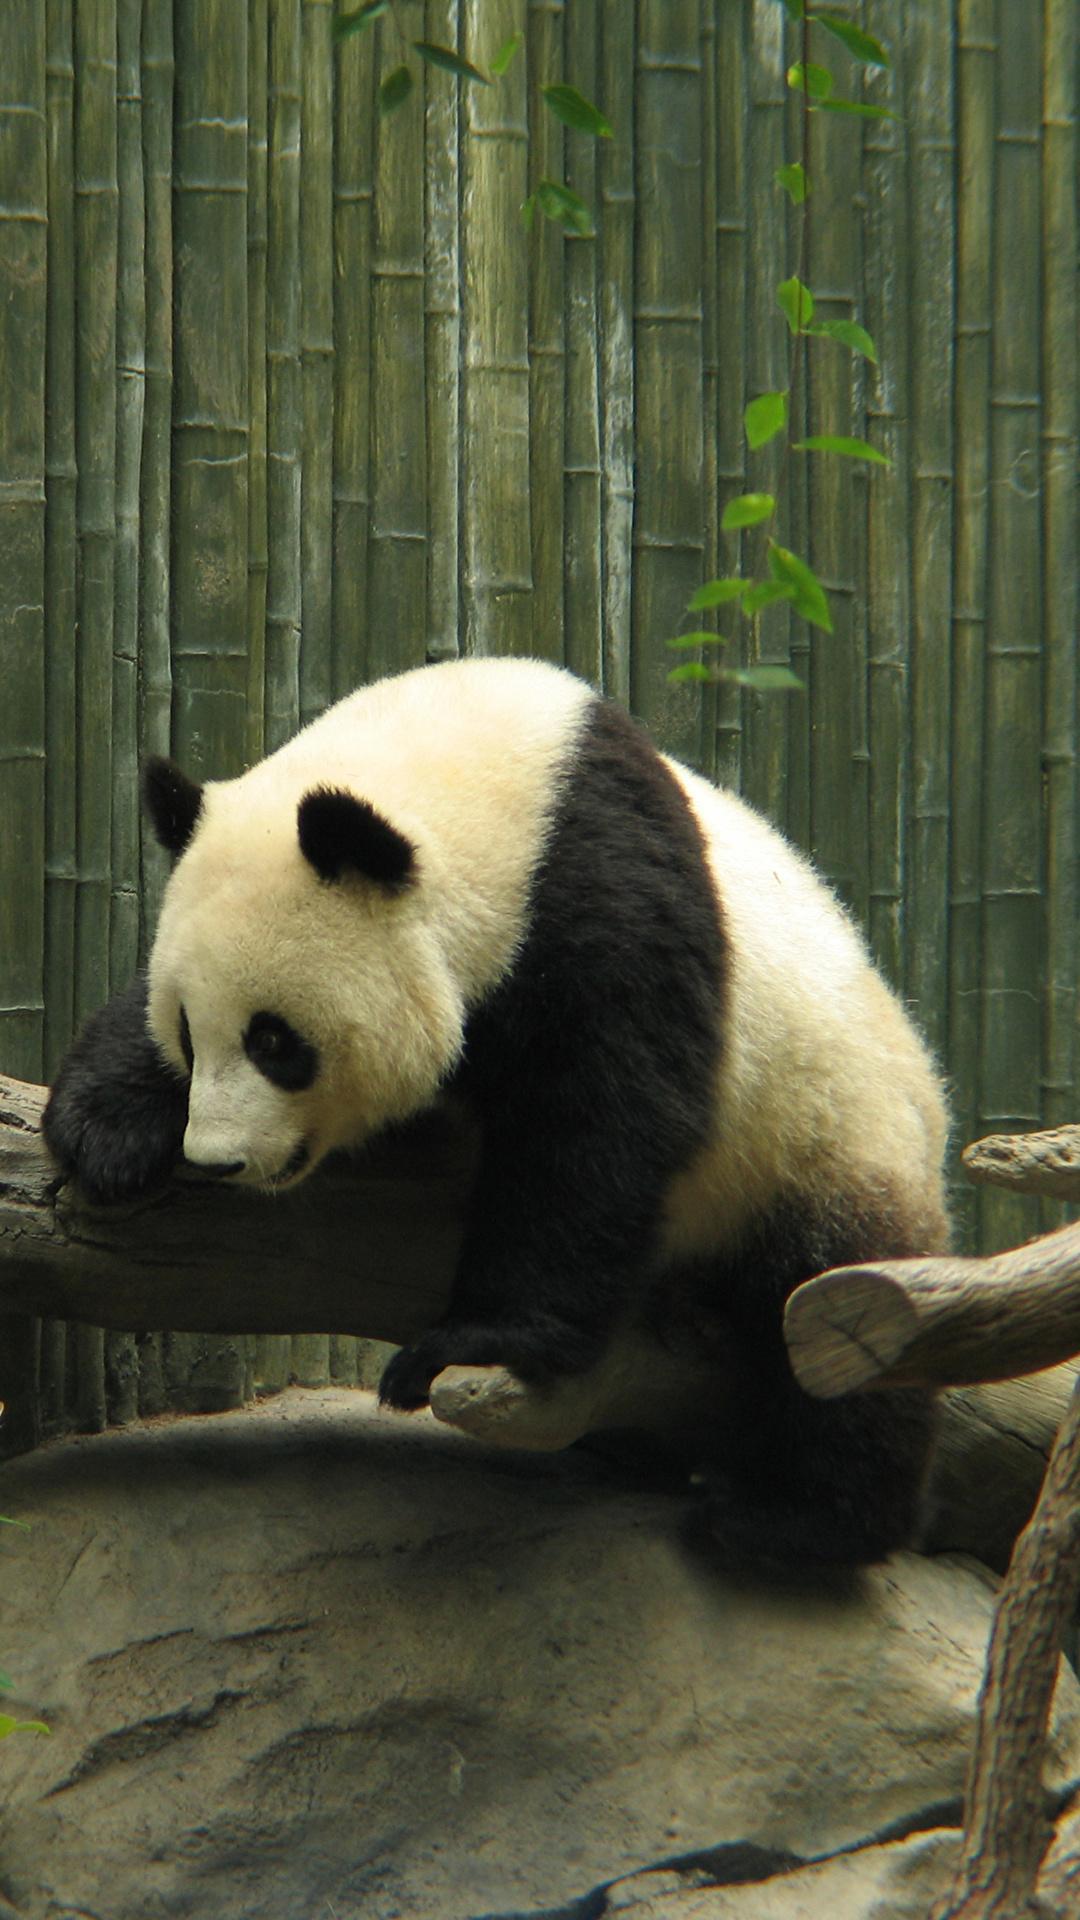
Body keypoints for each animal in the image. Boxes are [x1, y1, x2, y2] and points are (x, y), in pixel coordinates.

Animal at [43, 656, 950, 1567]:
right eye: (189, 1033)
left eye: (276, 1041)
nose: (219, 1157)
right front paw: (103, 1129)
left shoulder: (610, 908)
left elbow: (599, 1129)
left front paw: (476, 1340)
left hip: (824, 1139)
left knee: (830, 1326)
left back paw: (789, 1518)